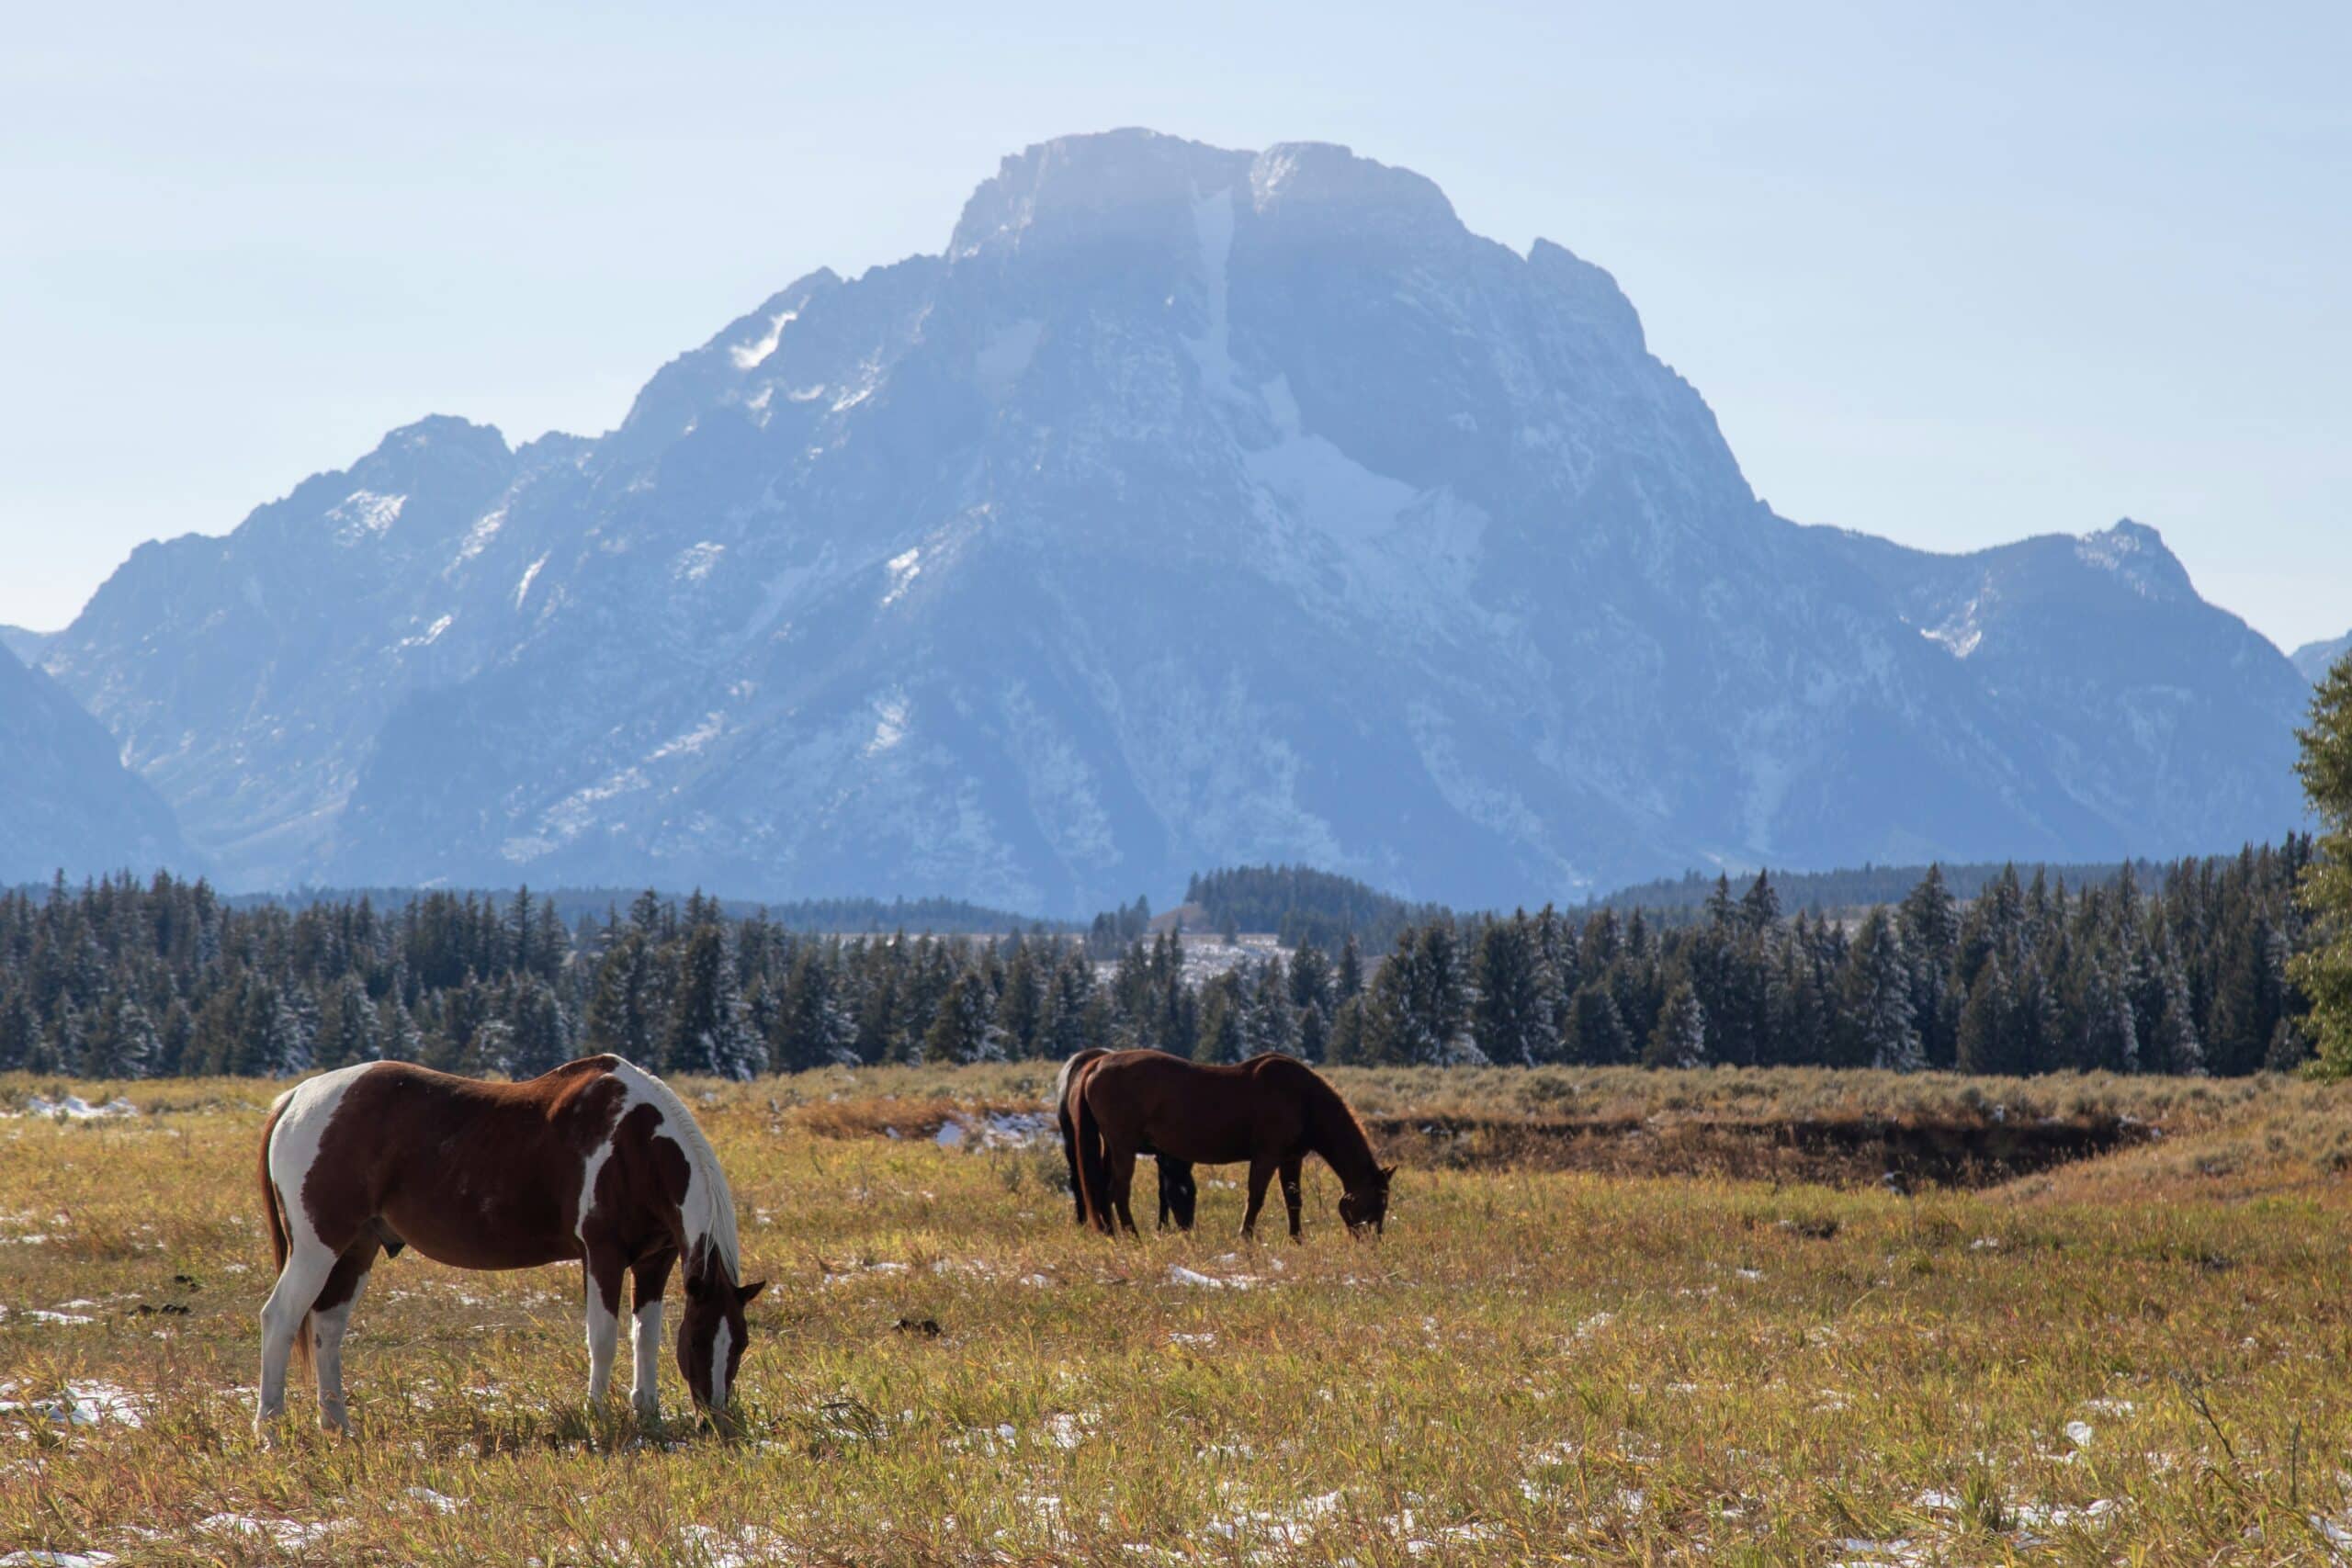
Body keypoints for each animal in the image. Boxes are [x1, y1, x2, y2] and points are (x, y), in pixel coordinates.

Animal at [254, 1054, 764, 1435]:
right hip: (318, 1247)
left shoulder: (655, 1261)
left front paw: (648, 1414)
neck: (633, 1142)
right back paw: (270, 1429)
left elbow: (647, 1337)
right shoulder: (603, 1256)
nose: (716, 1423)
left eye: (739, 1342)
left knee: (328, 1325)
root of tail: (296, 1098)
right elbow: (603, 1339)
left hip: (356, 1249)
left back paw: (337, 1425)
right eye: (697, 1341)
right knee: (281, 1318)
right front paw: (598, 1416)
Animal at [1072, 1050, 1394, 1240]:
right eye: (1378, 1201)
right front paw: (1246, 1236)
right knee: (1119, 1191)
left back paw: (1112, 1234)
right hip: (1124, 1147)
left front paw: (1297, 1239)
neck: (1303, 1098)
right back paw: (1132, 1235)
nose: (1372, 1241)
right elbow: (1257, 1197)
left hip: (1112, 1147)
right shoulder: (1266, 1156)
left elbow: (1294, 1200)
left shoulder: (1291, 1158)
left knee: (1104, 1191)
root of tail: (1097, 1065)